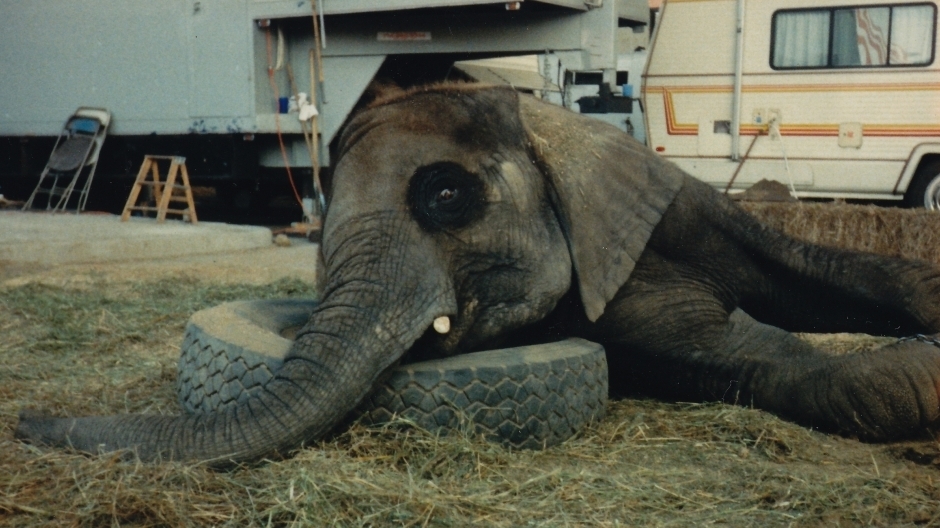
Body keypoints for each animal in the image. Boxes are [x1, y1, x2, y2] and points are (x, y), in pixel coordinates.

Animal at [15, 84, 940, 466]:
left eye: (446, 194)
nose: (21, 420)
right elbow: (731, 352)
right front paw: (922, 372)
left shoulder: (655, 204)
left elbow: (800, 283)